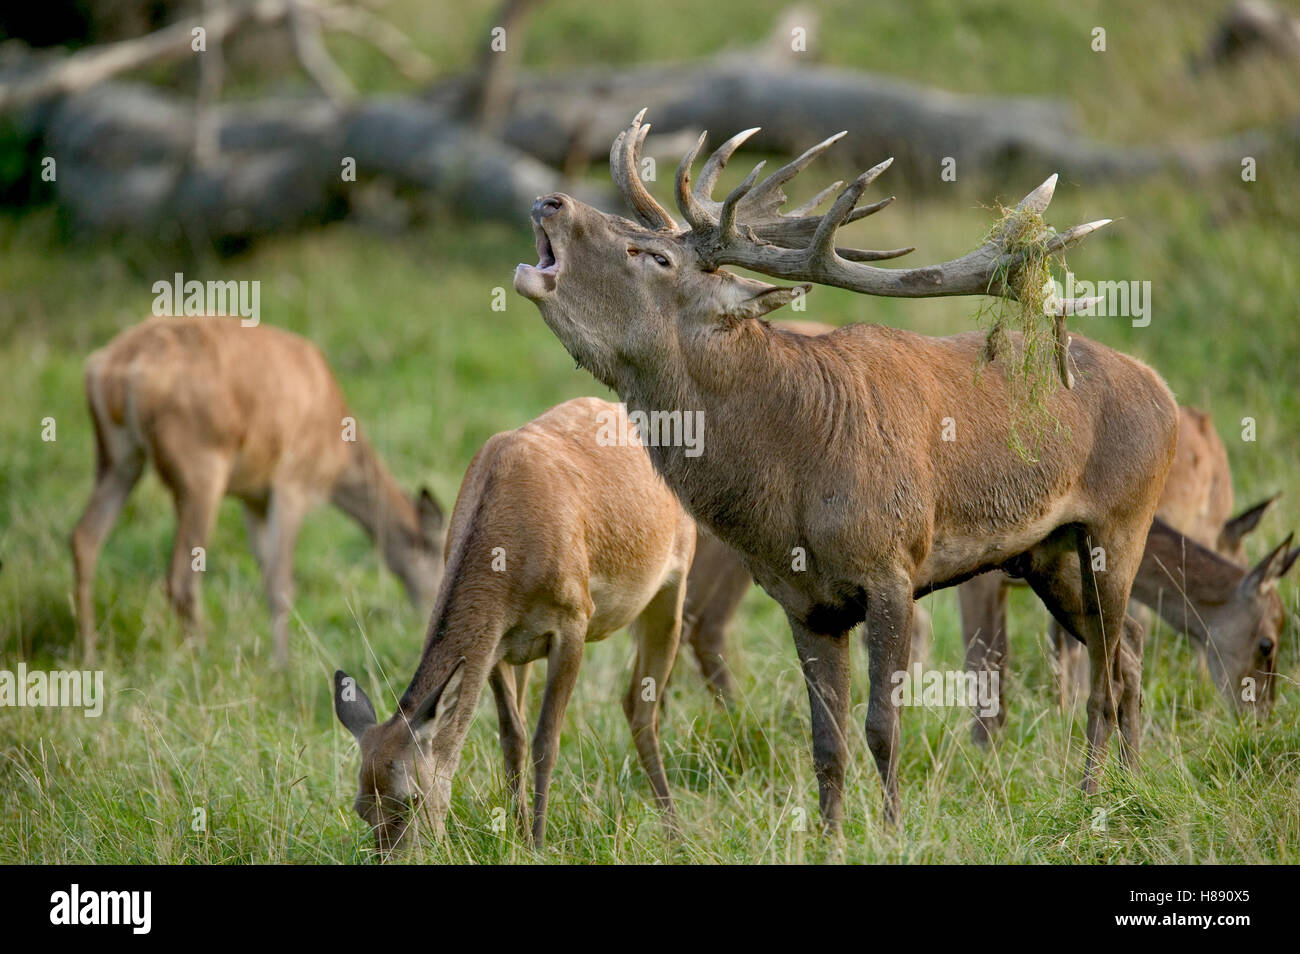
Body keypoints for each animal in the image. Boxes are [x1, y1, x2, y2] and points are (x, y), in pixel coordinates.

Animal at [71, 315, 445, 665]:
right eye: (440, 555)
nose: (428, 620)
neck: (337, 450)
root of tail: (113, 371)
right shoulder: (292, 484)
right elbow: (281, 583)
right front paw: (284, 666)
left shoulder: (253, 498)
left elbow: (266, 575)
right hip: (200, 470)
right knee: (180, 579)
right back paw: (204, 659)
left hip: (117, 459)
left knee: (85, 537)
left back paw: (91, 654)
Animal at [333, 397, 696, 853]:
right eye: (361, 807)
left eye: (410, 799)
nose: (394, 857)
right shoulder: (498, 645)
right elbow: (512, 738)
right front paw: (517, 834)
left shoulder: (574, 619)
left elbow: (545, 739)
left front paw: (538, 841)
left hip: (675, 581)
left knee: (641, 706)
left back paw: (676, 834)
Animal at [515, 109, 1180, 829]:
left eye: (656, 256)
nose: (550, 201)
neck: (788, 475)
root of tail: (1165, 393)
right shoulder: (806, 602)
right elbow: (826, 743)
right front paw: (832, 836)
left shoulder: (892, 567)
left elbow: (883, 728)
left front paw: (891, 833)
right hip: (1048, 554)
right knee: (1129, 652)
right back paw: (1130, 783)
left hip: (1121, 523)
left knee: (1109, 672)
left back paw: (1092, 797)